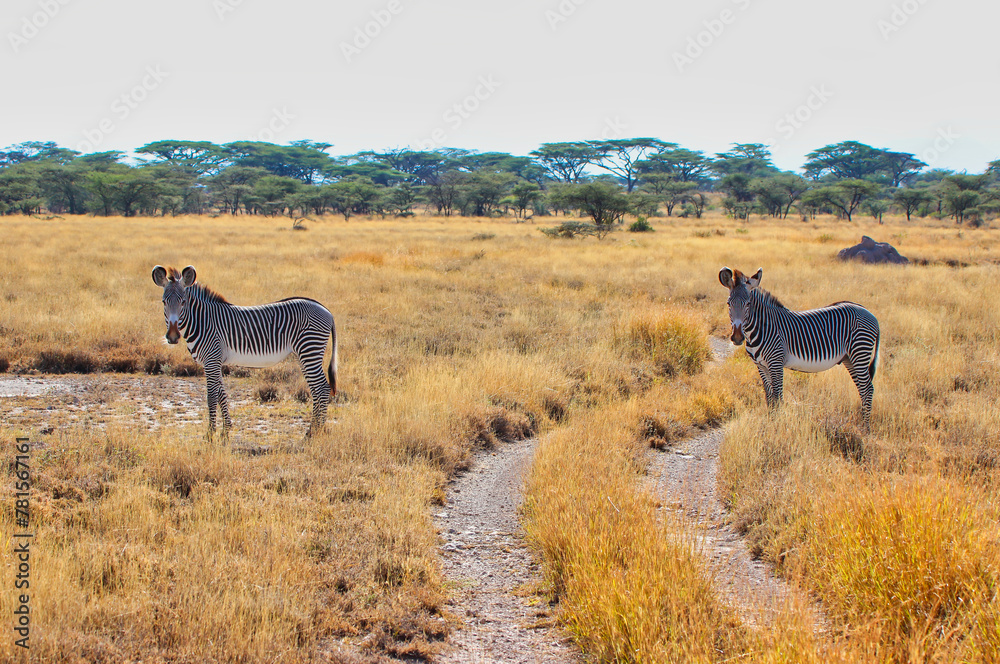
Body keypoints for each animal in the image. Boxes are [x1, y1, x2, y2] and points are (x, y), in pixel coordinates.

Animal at [152, 265, 337, 438]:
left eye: (183, 302)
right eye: (163, 302)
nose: (173, 337)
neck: (202, 321)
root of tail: (327, 311)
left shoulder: (211, 360)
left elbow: (211, 397)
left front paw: (210, 435)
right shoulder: (216, 361)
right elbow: (221, 395)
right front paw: (226, 430)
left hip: (309, 349)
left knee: (321, 388)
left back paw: (315, 433)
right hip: (305, 354)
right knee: (316, 389)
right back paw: (313, 430)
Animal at [719, 267, 880, 427]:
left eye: (748, 304)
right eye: (728, 303)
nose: (737, 337)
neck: (760, 329)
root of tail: (869, 312)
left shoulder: (776, 363)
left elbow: (777, 397)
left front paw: (777, 426)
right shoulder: (761, 366)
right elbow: (769, 397)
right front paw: (771, 421)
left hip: (860, 351)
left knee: (868, 389)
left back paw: (866, 428)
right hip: (849, 358)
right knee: (862, 388)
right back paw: (862, 422)